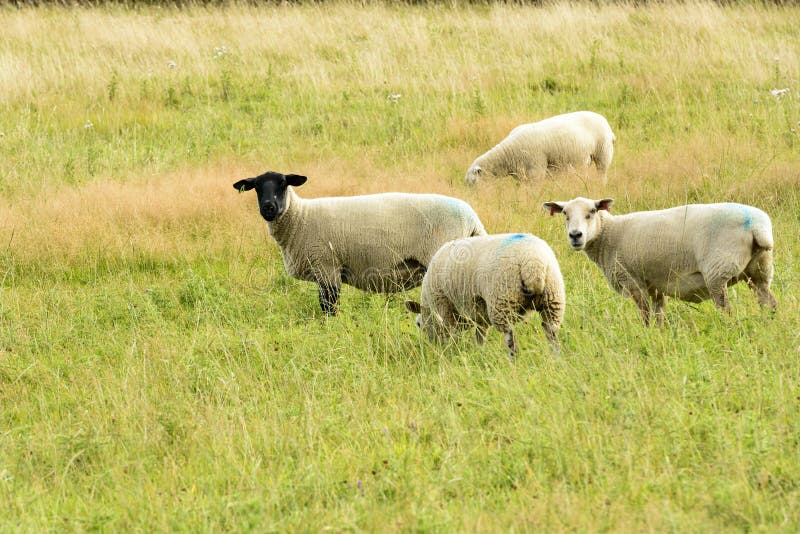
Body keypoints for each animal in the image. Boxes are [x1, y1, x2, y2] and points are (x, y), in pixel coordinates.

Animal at [233, 170, 487, 316]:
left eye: (283, 183)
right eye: (256, 187)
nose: (268, 207)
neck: (300, 217)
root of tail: (472, 217)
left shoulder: (327, 267)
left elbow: (328, 307)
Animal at [404, 233, 565, 358]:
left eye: (418, 324)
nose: (433, 346)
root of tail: (533, 263)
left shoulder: (445, 305)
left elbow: (454, 332)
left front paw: (452, 350)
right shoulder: (479, 313)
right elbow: (480, 334)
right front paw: (479, 351)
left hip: (501, 301)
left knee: (510, 338)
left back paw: (512, 361)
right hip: (553, 299)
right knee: (551, 332)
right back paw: (555, 358)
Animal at [465, 111, 615, 185]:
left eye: (473, 182)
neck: (508, 153)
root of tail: (606, 122)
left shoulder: (536, 170)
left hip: (603, 151)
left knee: (602, 172)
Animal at [542, 197, 777, 325]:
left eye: (592, 211)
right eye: (565, 213)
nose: (575, 235)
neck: (609, 235)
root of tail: (758, 226)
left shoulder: (633, 281)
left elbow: (645, 316)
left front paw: (647, 335)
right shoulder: (654, 285)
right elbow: (658, 315)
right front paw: (659, 335)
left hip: (718, 272)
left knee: (727, 310)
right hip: (759, 269)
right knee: (768, 301)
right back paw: (769, 324)